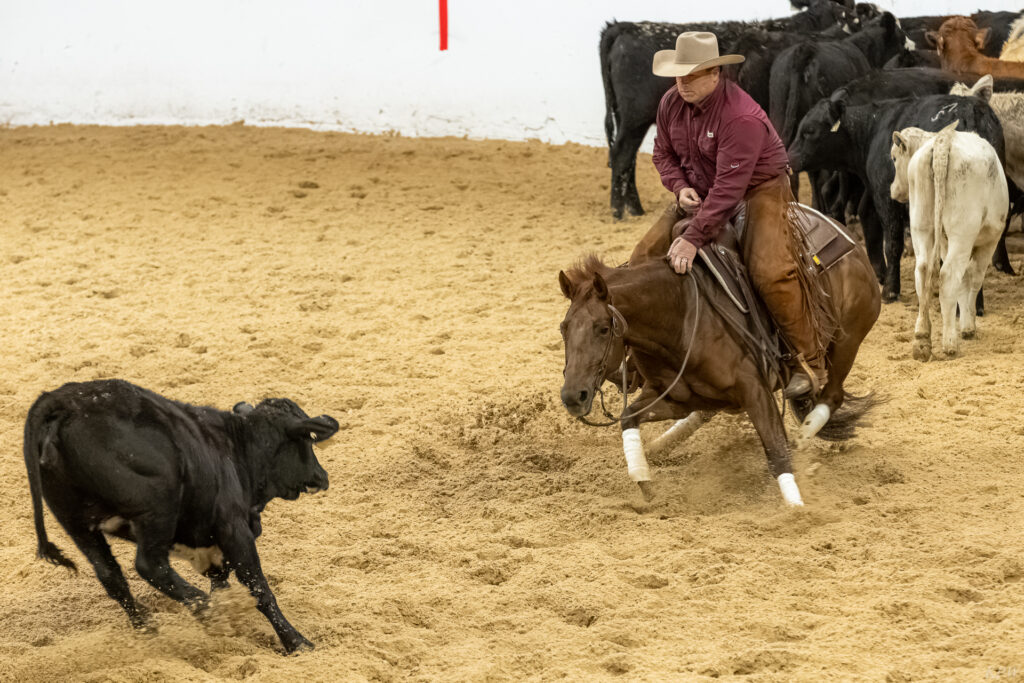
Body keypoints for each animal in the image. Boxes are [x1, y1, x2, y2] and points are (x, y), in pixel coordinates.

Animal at [24, 379, 339, 654]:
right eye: (308, 440)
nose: (322, 476)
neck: (236, 450)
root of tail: (60, 401)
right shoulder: (233, 527)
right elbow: (257, 587)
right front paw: (297, 642)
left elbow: (222, 579)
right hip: (157, 507)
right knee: (150, 566)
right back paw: (205, 611)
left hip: (75, 523)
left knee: (111, 576)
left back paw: (150, 630)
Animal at [557, 223, 881, 506]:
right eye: (563, 327)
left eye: (602, 328)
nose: (573, 396)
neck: (682, 317)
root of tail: (849, 239)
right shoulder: (677, 398)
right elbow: (629, 417)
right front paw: (644, 480)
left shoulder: (755, 391)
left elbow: (777, 451)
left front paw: (798, 511)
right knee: (706, 413)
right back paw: (661, 445)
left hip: (847, 342)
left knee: (832, 396)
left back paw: (802, 437)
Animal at [600, 0, 855, 218]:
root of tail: (621, 27)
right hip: (634, 118)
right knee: (621, 154)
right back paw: (618, 210)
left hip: (626, 117)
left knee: (628, 158)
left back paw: (633, 208)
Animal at [786, 90, 1005, 303]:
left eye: (809, 131)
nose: (789, 159)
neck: (871, 130)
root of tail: (971, 111)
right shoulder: (875, 190)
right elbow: (868, 217)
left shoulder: (885, 196)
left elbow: (892, 242)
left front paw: (890, 290)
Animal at [890, 122, 1008, 359]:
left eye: (894, 158)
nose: (893, 191)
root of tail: (943, 141)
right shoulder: (989, 240)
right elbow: (973, 279)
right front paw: (968, 326)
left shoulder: (944, 242)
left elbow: (964, 281)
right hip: (962, 233)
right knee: (948, 276)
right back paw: (950, 343)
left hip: (922, 226)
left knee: (923, 271)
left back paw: (922, 338)